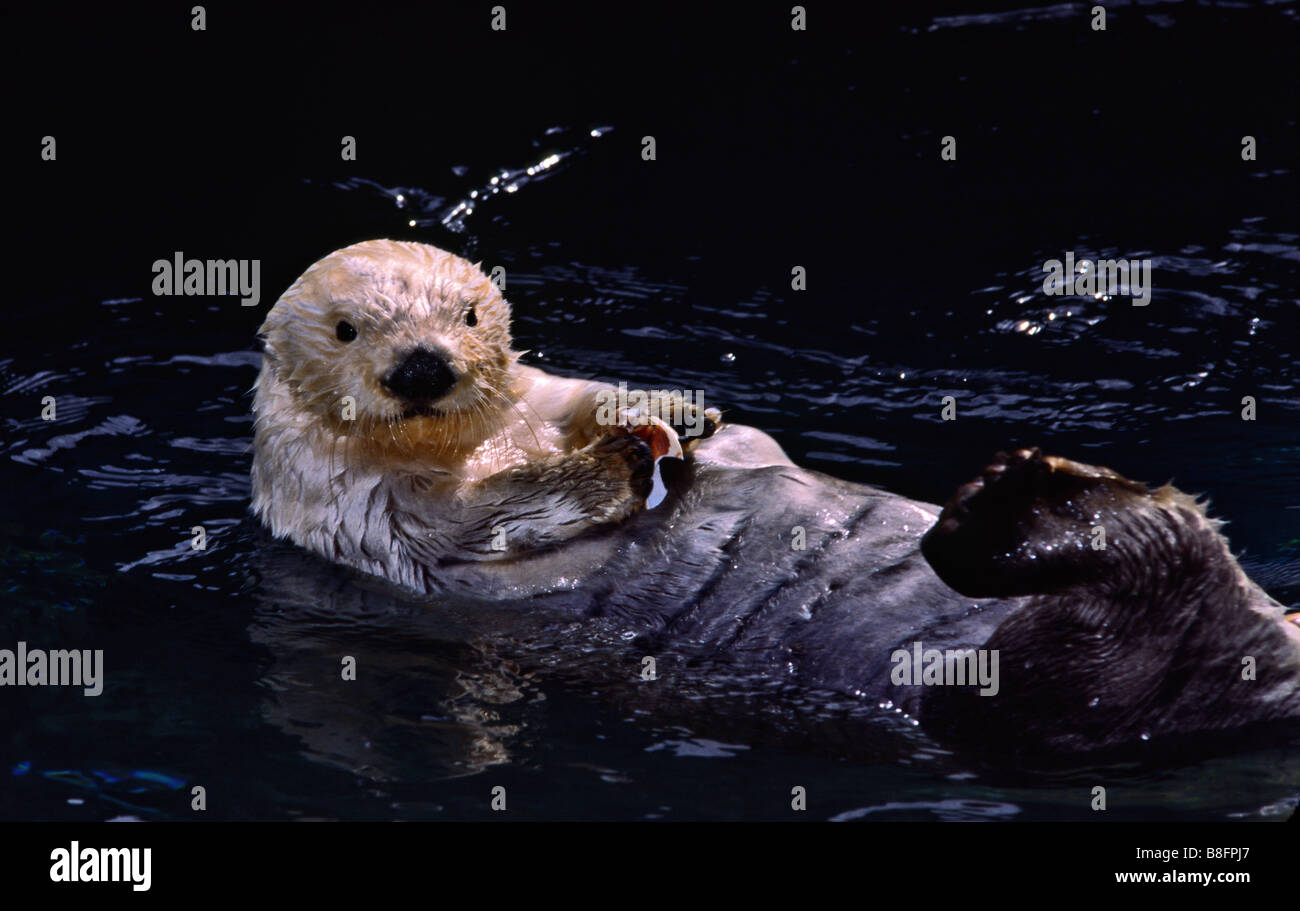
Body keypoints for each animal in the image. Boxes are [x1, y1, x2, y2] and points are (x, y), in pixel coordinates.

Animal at [252, 240, 1300, 754]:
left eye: (467, 314)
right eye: (348, 329)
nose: (423, 367)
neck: (472, 438)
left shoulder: (542, 392)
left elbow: (593, 398)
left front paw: (670, 415)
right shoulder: (360, 512)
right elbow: (486, 517)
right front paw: (617, 467)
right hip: (1028, 697)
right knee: (1138, 612)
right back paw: (1015, 501)